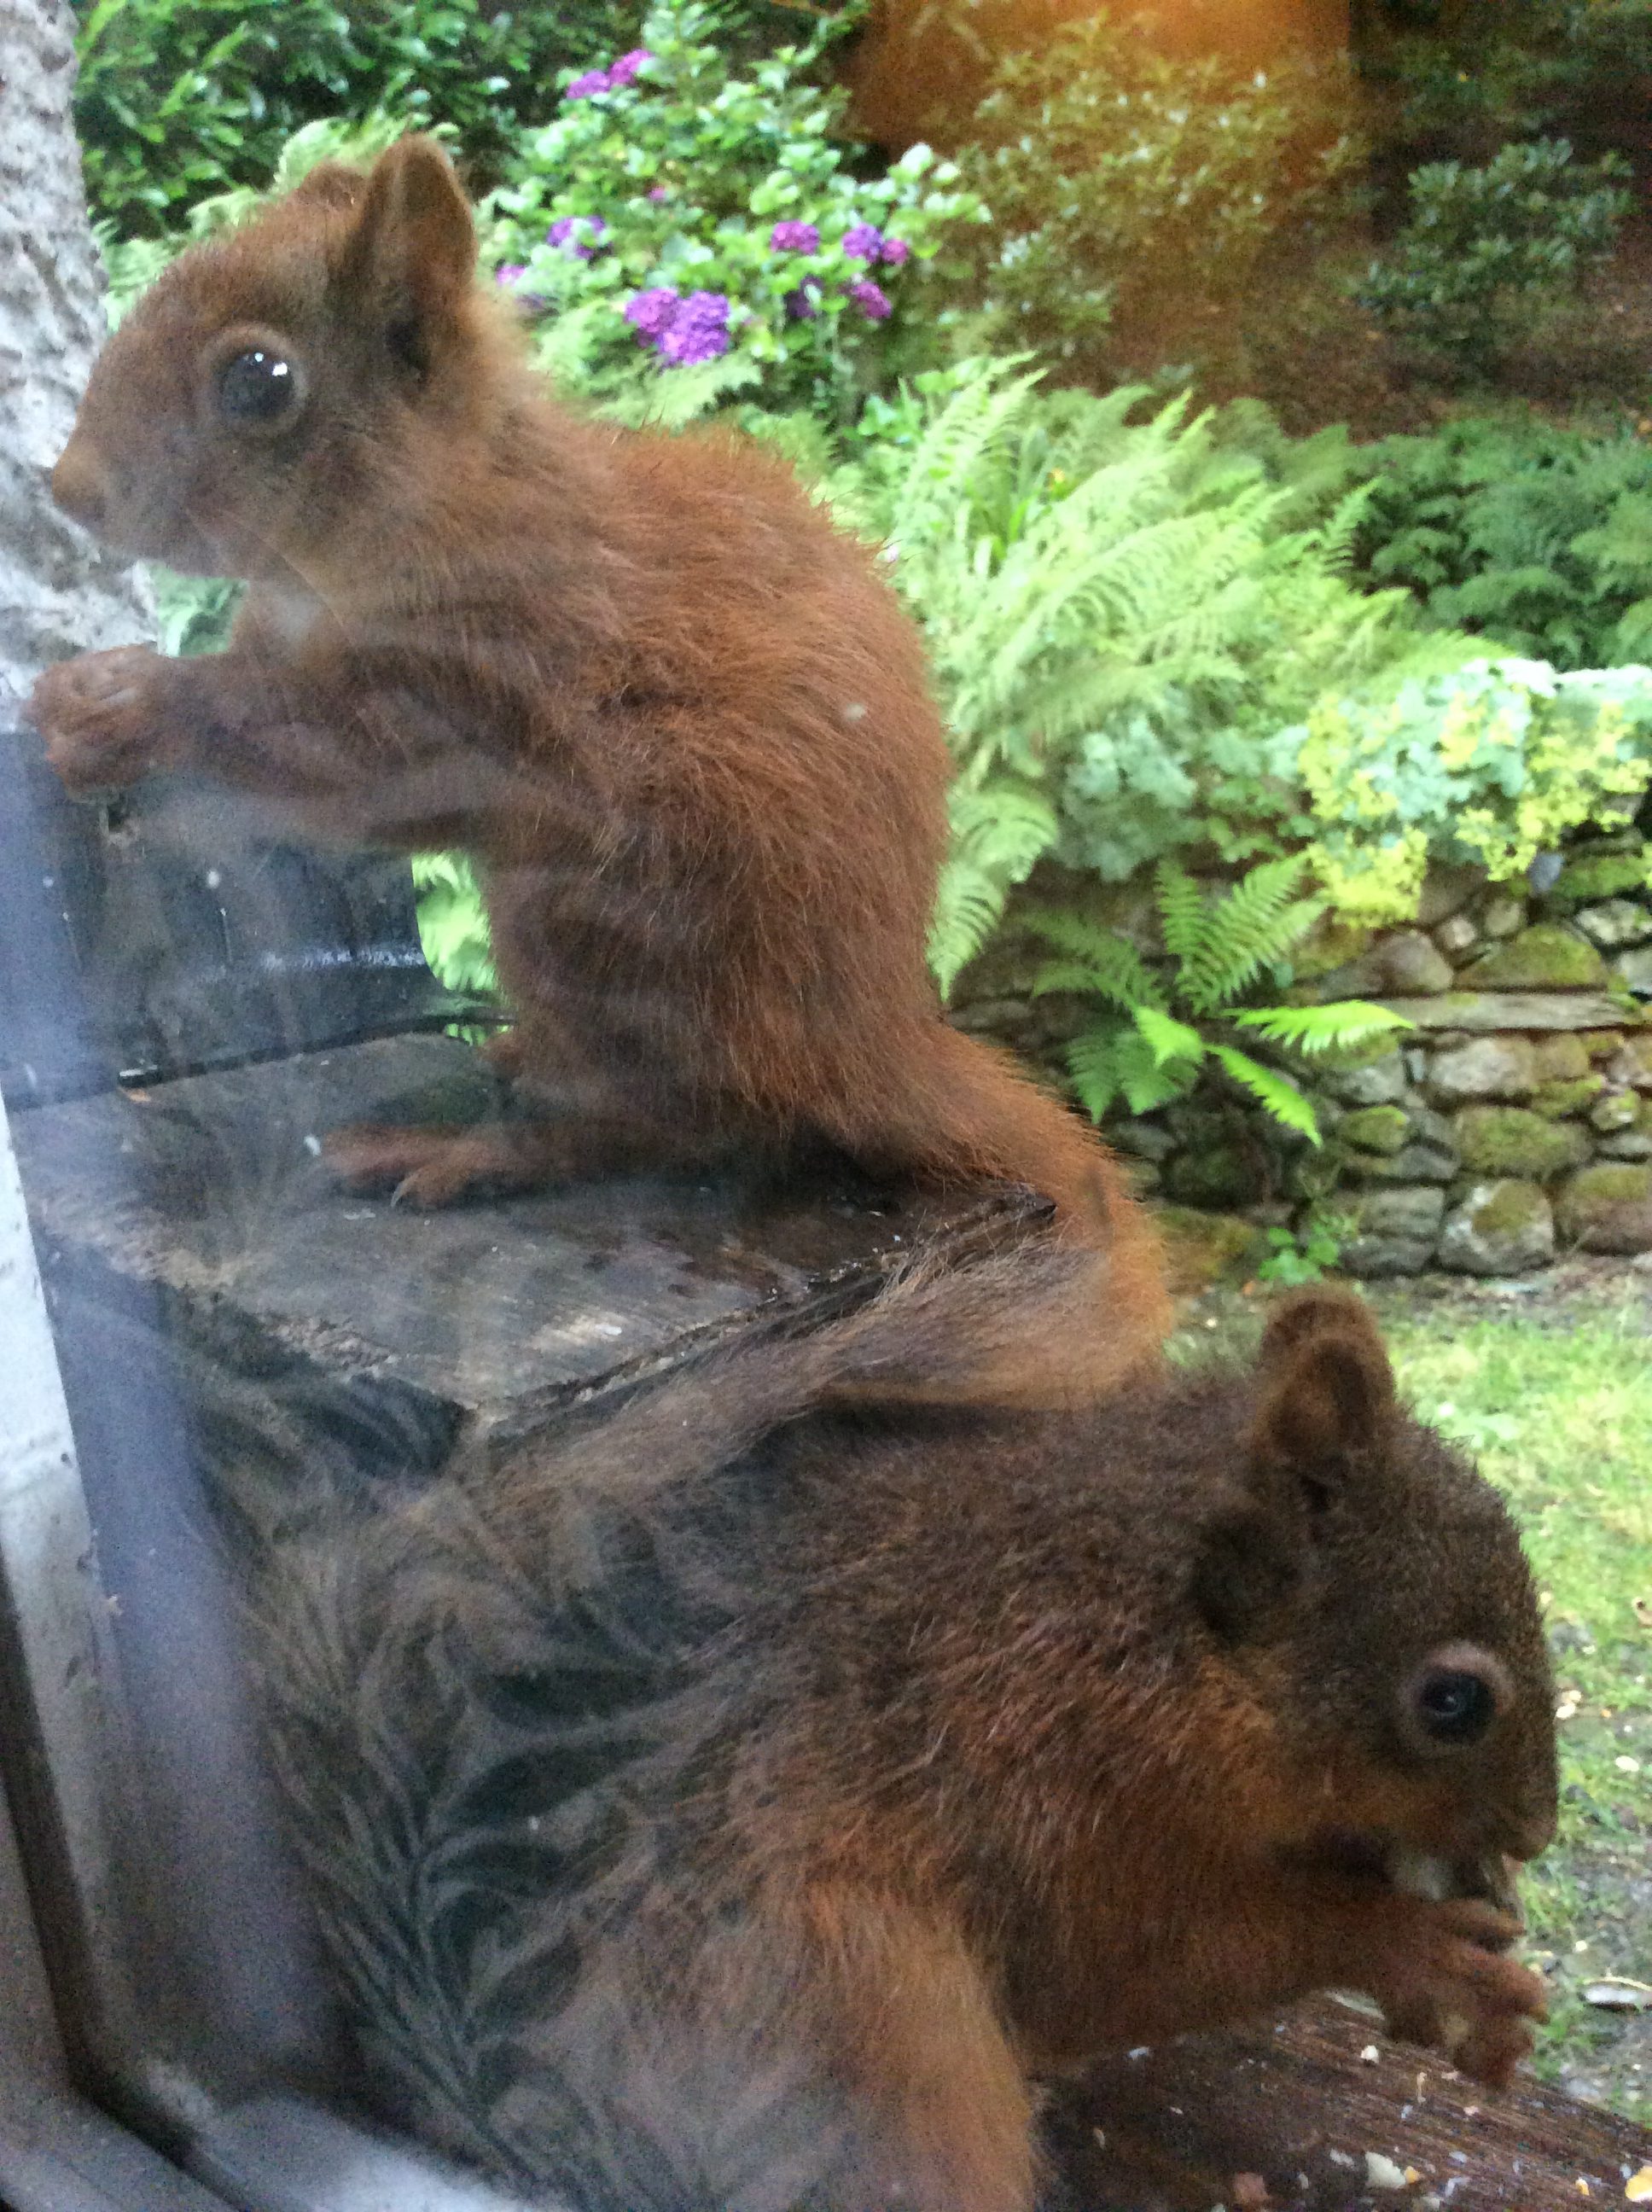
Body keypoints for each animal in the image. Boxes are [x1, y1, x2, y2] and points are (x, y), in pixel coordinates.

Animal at [27, 135, 1169, 1404]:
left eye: (259, 381)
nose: (69, 488)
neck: (403, 517)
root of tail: (870, 1036)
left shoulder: (488, 670)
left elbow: (342, 763)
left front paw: (127, 704)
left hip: (609, 913)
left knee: (664, 1125)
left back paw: (470, 1152)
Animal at [231, 1252, 1557, 2212]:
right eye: (1452, 1702)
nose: (1537, 1831)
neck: (1145, 1630)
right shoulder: (1060, 1792)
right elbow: (1150, 1961)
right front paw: (1415, 1951)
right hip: (847, 2021)